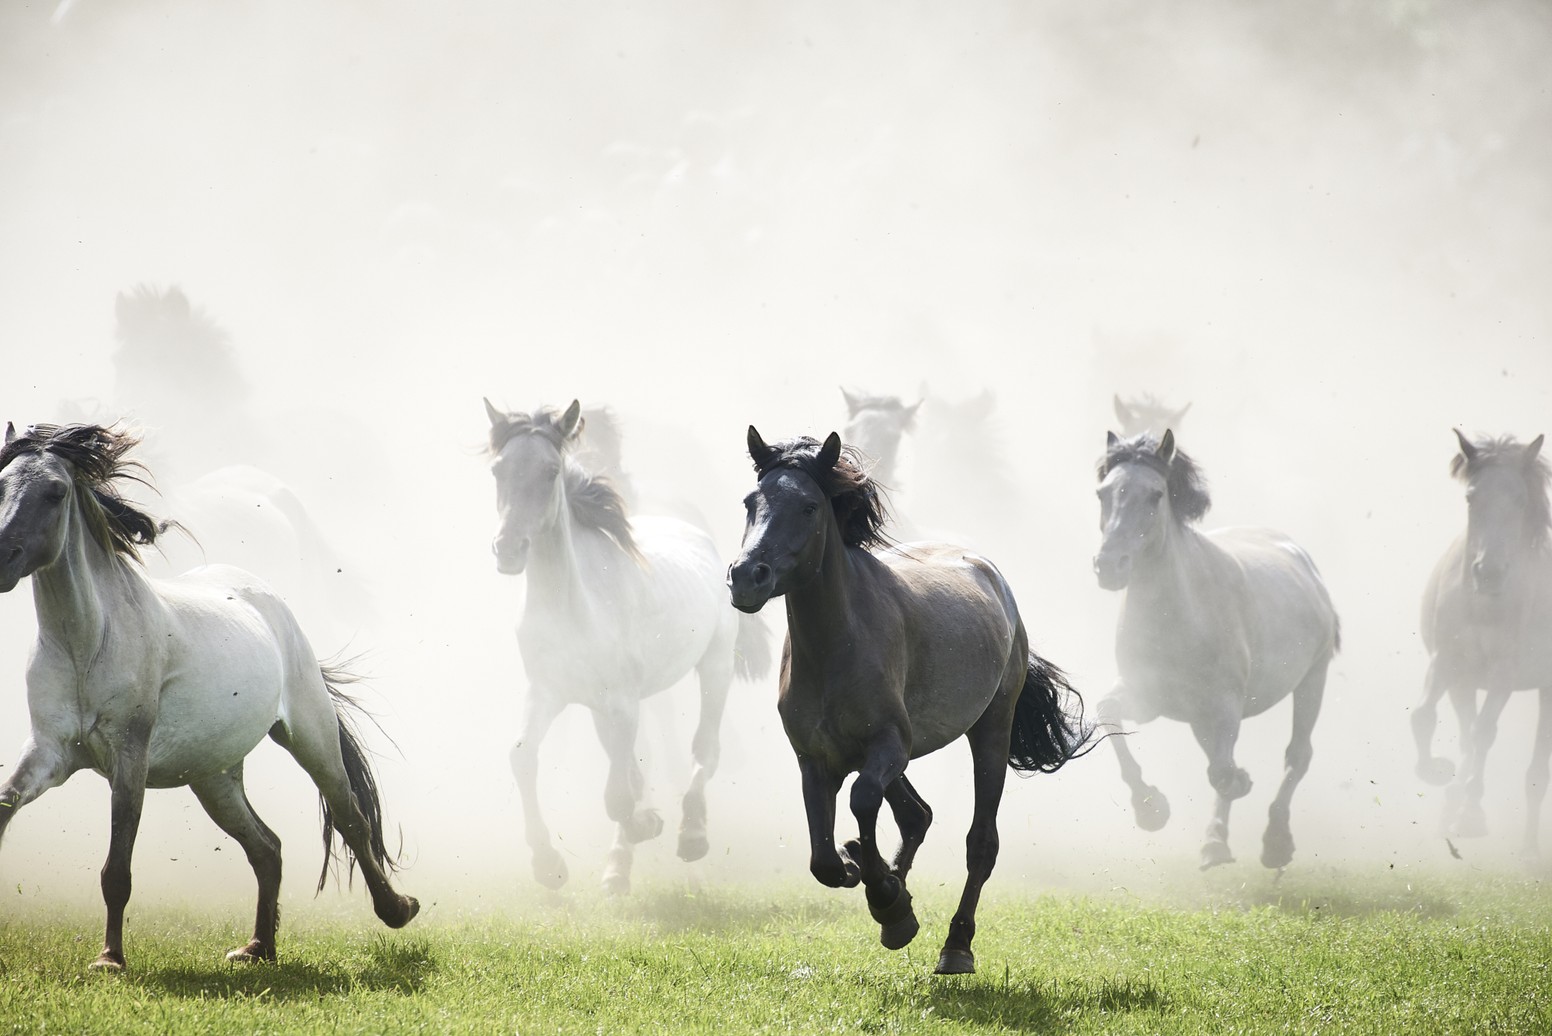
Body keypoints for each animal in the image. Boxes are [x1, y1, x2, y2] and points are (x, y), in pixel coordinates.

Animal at [0, 423, 418, 971]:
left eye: (55, 492)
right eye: (0, 482)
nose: (0, 560)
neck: (86, 642)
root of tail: (265, 596)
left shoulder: (129, 758)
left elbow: (117, 869)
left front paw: (110, 959)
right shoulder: (49, 752)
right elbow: (6, 806)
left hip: (310, 736)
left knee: (350, 818)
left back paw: (397, 910)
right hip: (214, 777)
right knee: (267, 847)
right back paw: (258, 948)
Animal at [484, 398, 770, 894]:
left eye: (550, 471)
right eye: (499, 470)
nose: (509, 550)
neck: (574, 604)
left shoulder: (620, 702)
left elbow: (620, 796)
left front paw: (647, 823)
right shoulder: (548, 693)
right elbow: (522, 758)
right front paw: (548, 865)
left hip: (713, 667)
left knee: (703, 750)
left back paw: (690, 835)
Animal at [726, 428, 1091, 975]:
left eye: (810, 507)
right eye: (751, 502)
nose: (748, 576)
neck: (838, 647)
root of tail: (989, 573)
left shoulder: (888, 747)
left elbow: (861, 801)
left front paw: (887, 899)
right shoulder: (815, 759)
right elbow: (823, 859)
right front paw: (875, 885)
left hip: (990, 729)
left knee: (980, 842)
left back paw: (956, 944)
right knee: (916, 815)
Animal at [1092, 430, 1339, 871]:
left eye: (1155, 494)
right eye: (1102, 493)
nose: (1109, 565)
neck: (1177, 617)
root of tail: (1300, 556)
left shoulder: (1223, 704)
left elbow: (1223, 772)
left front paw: (1241, 784)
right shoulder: (1147, 698)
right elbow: (1107, 713)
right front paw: (1150, 807)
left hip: (1313, 677)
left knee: (1297, 755)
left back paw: (1274, 842)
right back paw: (1214, 843)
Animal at [1412, 430, 1552, 856]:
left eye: (1520, 500)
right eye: (1471, 497)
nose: (1488, 573)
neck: (1483, 605)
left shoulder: (1504, 673)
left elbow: (1484, 734)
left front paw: (1471, 816)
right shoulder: (1446, 661)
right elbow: (1423, 715)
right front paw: (1437, 773)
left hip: (1545, 689)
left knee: (1535, 771)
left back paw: (1528, 850)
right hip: (1464, 682)